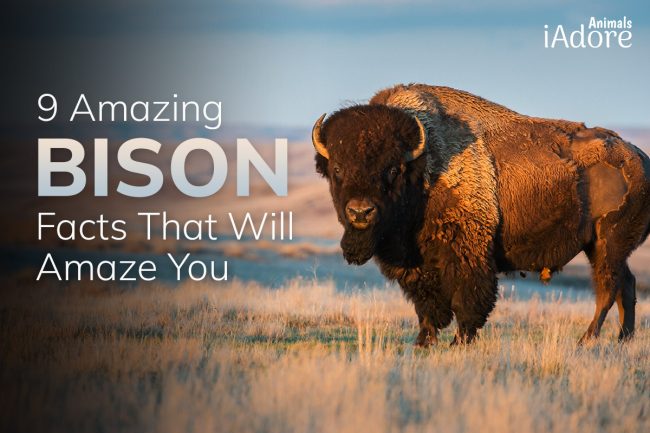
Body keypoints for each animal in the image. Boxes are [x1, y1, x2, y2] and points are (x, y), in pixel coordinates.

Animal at [312, 84, 650, 346]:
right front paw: (423, 342)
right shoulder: (416, 264)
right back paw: (623, 339)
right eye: (337, 169)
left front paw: (460, 341)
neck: (424, 164)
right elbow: (426, 304)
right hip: (602, 248)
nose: (360, 212)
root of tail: (640, 158)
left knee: (608, 289)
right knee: (627, 284)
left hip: (607, 244)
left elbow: (469, 297)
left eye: (393, 169)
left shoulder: (467, 251)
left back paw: (586, 340)